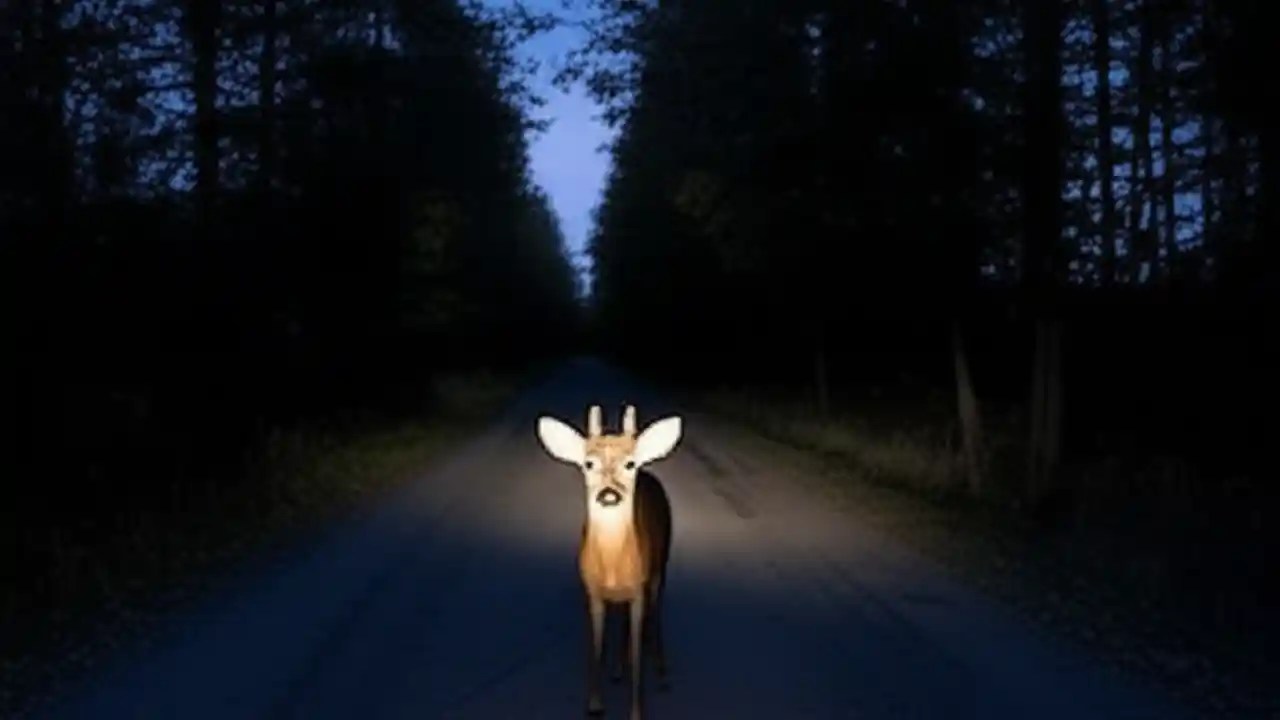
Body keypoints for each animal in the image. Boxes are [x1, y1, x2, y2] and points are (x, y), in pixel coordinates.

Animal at [535, 404, 682, 720]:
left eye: (630, 464)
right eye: (588, 463)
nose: (609, 494)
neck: (613, 567)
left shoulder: (638, 589)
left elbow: (638, 653)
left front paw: (637, 712)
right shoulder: (591, 591)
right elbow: (596, 647)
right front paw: (594, 704)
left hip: (660, 565)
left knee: (657, 609)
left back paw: (662, 669)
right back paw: (617, 669)